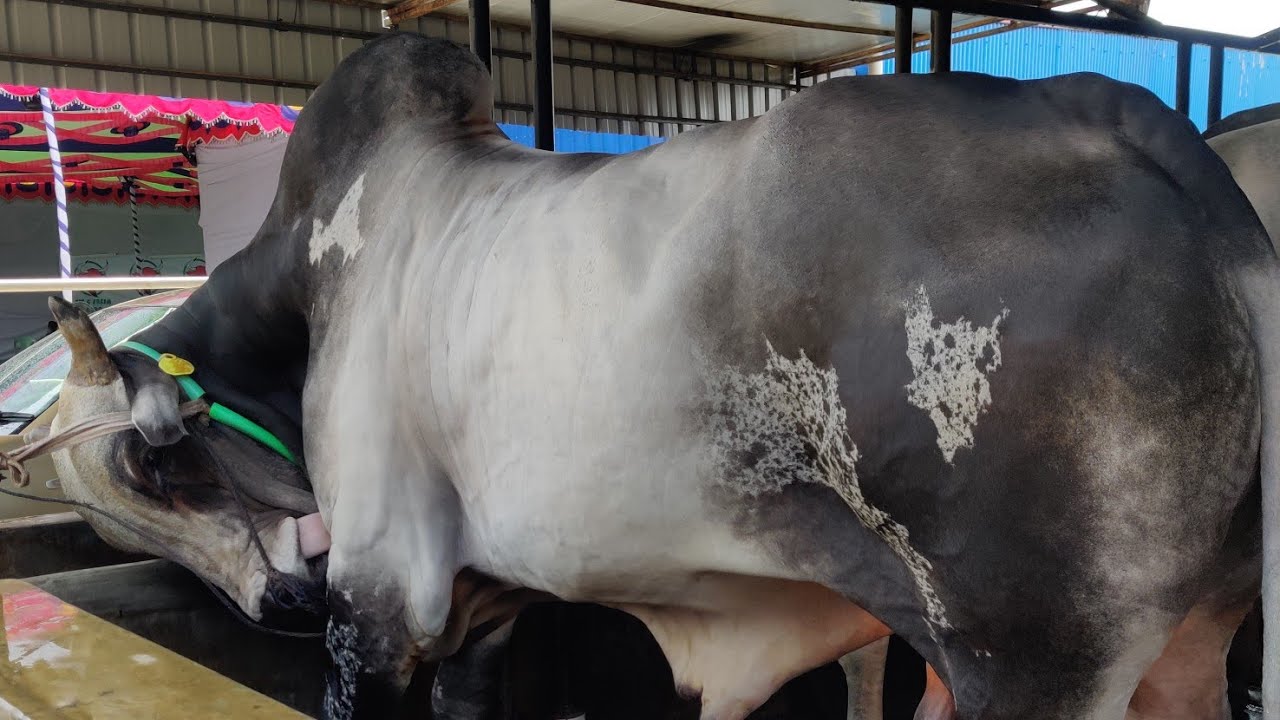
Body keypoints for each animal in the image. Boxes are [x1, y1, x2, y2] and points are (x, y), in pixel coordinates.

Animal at [31, 32, 1280, 720]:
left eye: (151, 467)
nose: (276, 607)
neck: (311, 279)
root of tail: (1133, 130)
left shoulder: (379, 598)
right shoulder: (482, 608)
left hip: (1032, 663)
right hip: (1192, 638)